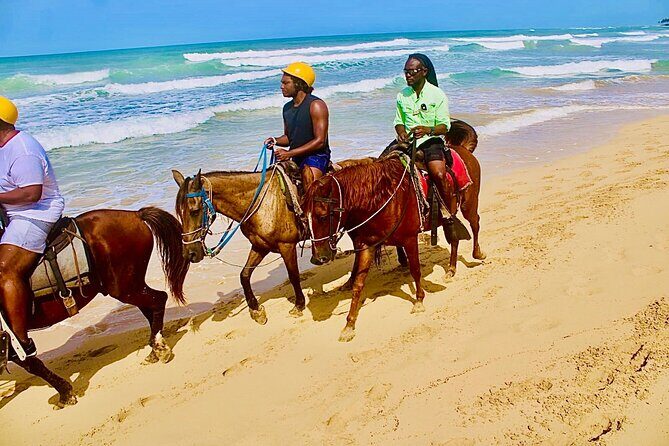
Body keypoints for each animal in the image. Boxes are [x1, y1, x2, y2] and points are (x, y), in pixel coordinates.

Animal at [0, 207, 189, 407]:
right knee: (151, 307)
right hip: (130, 286)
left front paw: (66, 394)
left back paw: (159, 348)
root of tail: (135, 214)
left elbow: (29, 363)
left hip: (125, 287)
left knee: (158, 299)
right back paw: (155, 348)